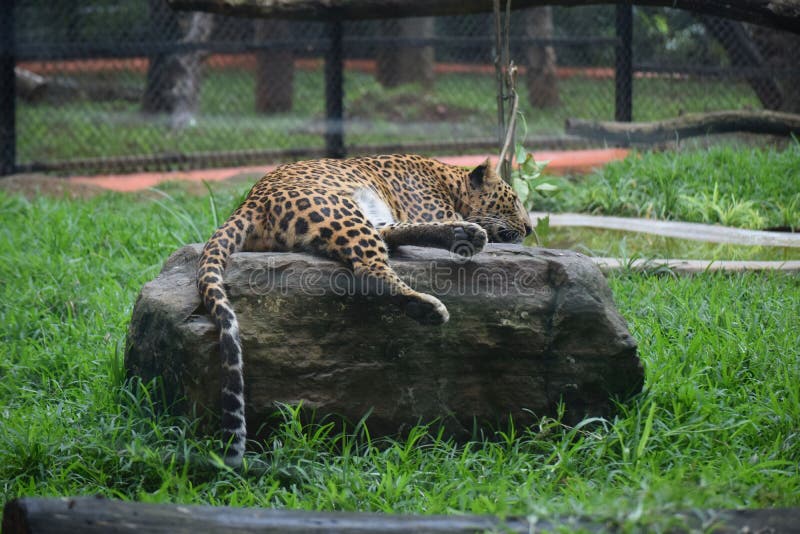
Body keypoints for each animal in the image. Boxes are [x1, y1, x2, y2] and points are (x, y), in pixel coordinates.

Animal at [197, 154, 532, 467]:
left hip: (363, 217)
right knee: (370, 267)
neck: (448, 180)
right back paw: (428, 302)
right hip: (343, 211)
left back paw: (461, 235)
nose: (530, 228)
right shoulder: (432, 209)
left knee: (388, 236)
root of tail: (249, 202)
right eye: (515, 201)